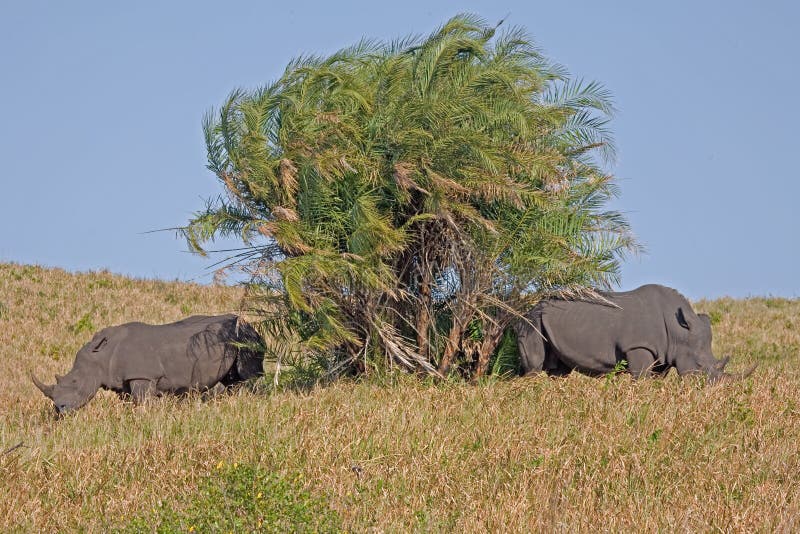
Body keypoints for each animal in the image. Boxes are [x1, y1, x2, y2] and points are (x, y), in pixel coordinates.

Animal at [32, 314, 264, 414]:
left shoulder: (142, 375)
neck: (102, 355)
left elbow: (141, 402)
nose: (59, 410)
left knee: (245, 374)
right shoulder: (124, 381)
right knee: (231, 379)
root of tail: (251, 325)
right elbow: (129, 402)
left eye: (75, 381)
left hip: (244, 336)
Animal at [514, 284, 755, 381]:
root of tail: (533, 307)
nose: (713, 390)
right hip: (532, 321)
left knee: (559, 370)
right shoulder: (638, 345)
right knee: (534, 365)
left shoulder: (664, 354)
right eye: (699, 365)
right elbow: (641, 378)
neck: (679, 331)